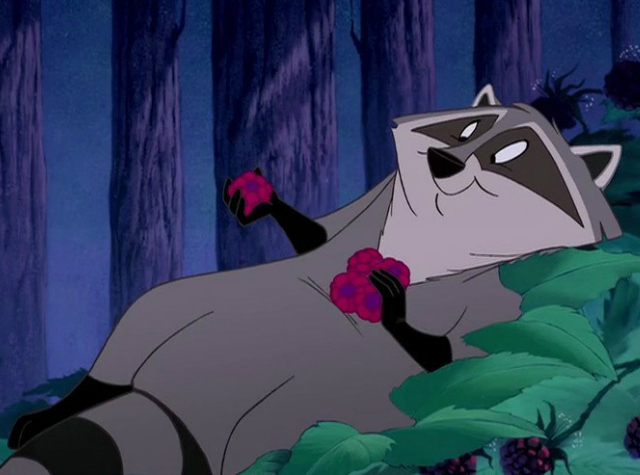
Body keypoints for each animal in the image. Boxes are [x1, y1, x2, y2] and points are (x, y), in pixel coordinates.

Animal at [1, 85, 622, 475]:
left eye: (511, 153)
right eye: (467, 126)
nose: (444, 163)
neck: (441, 230)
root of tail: (171, 403)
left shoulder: (509, 285)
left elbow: (451, 357)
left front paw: (397, 309)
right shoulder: (370, 211)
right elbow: (320, 238)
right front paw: (266, 200)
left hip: (313, 410)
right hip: (191, 308)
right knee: (153, 310)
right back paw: (72, 402)